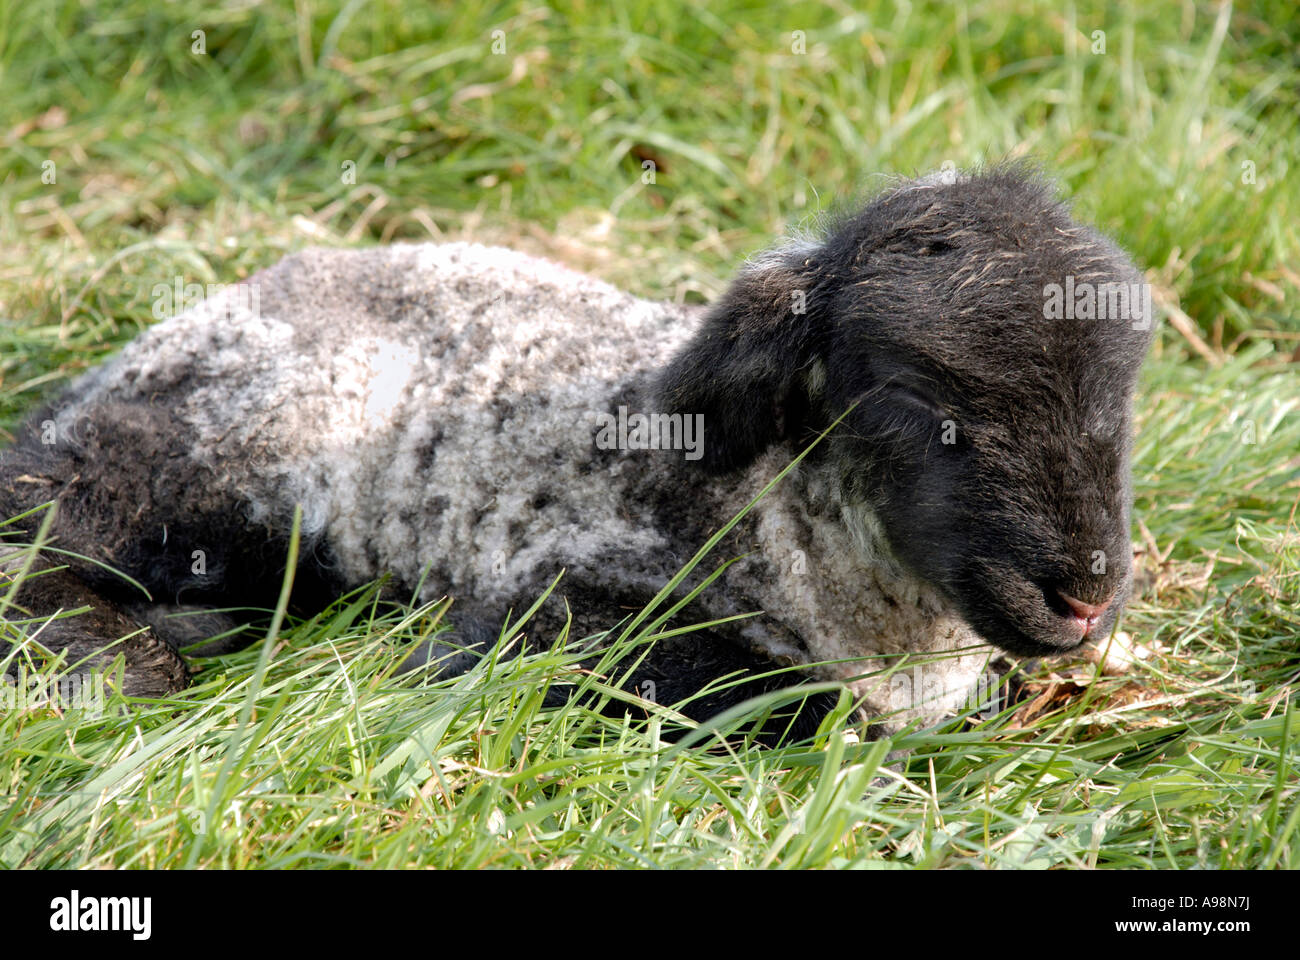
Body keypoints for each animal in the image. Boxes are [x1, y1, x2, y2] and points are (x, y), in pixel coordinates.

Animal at [0, 165, 1154, 741]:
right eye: (910, 397)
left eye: (1125, 396)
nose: (1084, 594)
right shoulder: (562, 598)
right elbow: (773, 702)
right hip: (221, 467)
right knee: (35, 528)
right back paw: (128, 657)